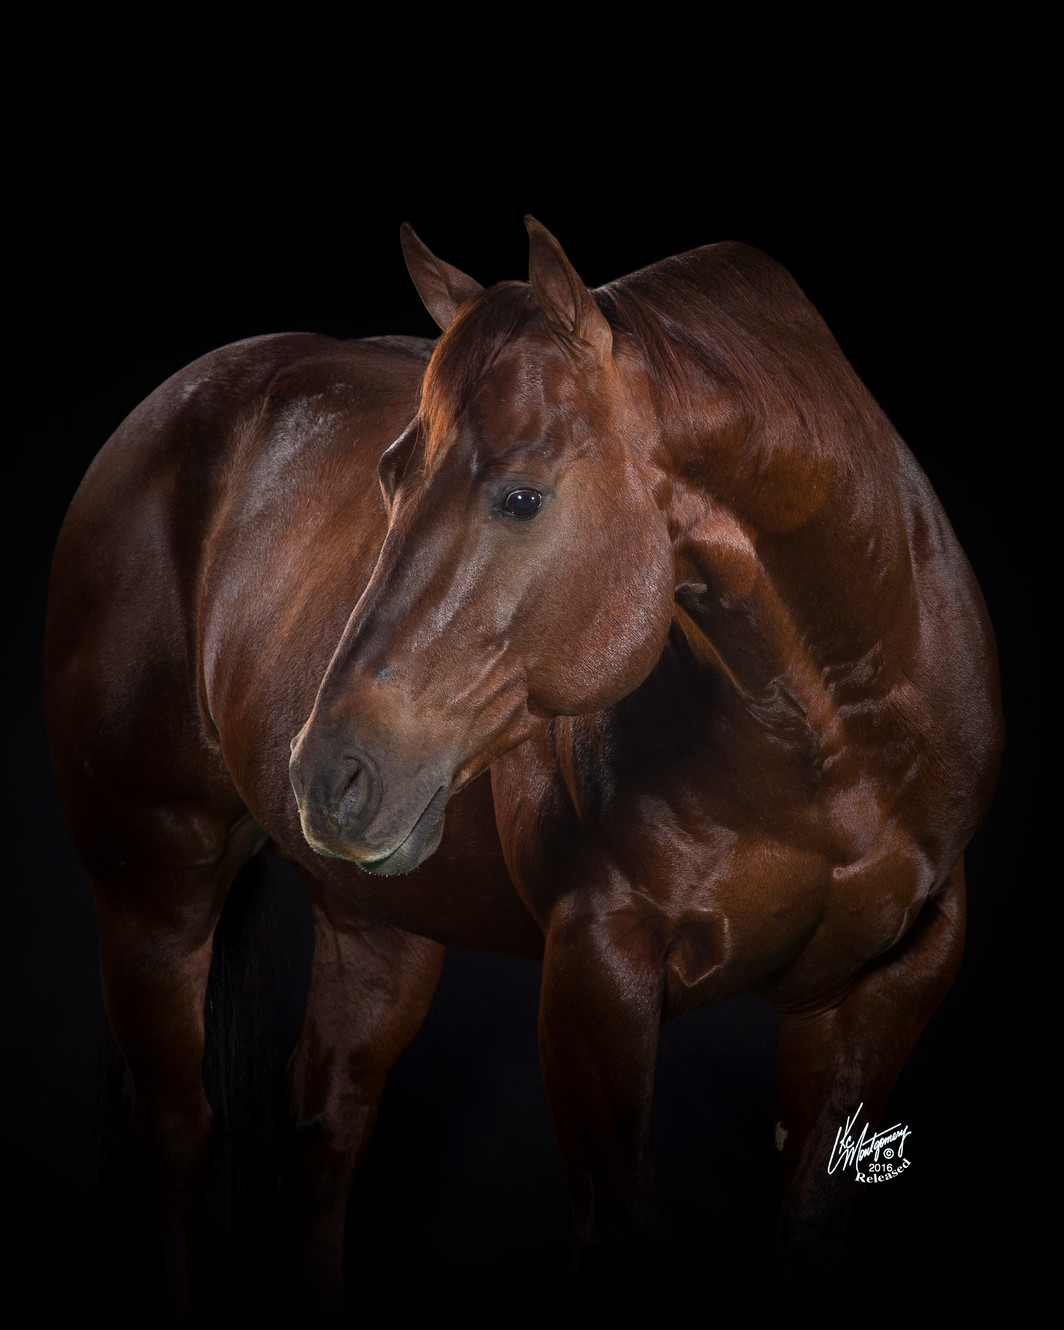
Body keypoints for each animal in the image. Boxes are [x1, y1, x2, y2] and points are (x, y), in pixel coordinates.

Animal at [44, 217, 1002, 1324]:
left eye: (520, 497)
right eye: (389, 477)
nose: (326, 775)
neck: (834, 736)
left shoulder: (887, 981)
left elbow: (810, 1229)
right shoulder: (597, 968)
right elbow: (613, 1238)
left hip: (378, 925)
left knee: (325, 1121)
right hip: (154, 888)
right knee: (175, 1128)